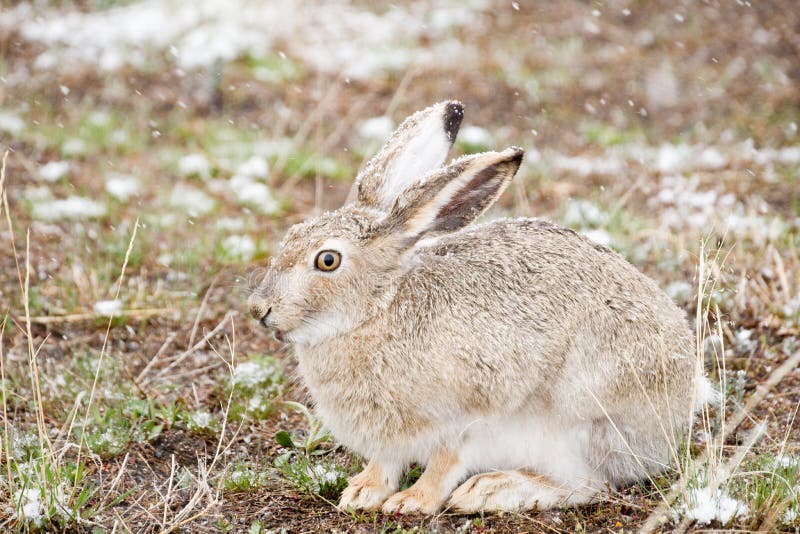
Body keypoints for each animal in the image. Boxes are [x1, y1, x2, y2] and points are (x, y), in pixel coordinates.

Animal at [248, 100, 709, 514]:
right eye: (291, 234)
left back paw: (489, 491)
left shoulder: (468, 417)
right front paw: (361, 493)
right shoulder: (392, 440)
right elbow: (386, 463)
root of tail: (675, 415)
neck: (377, 309)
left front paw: (412, 502)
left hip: (576, 425)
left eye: (328, 260)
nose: (259, 309)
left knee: (591, 486)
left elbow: (444, 463)